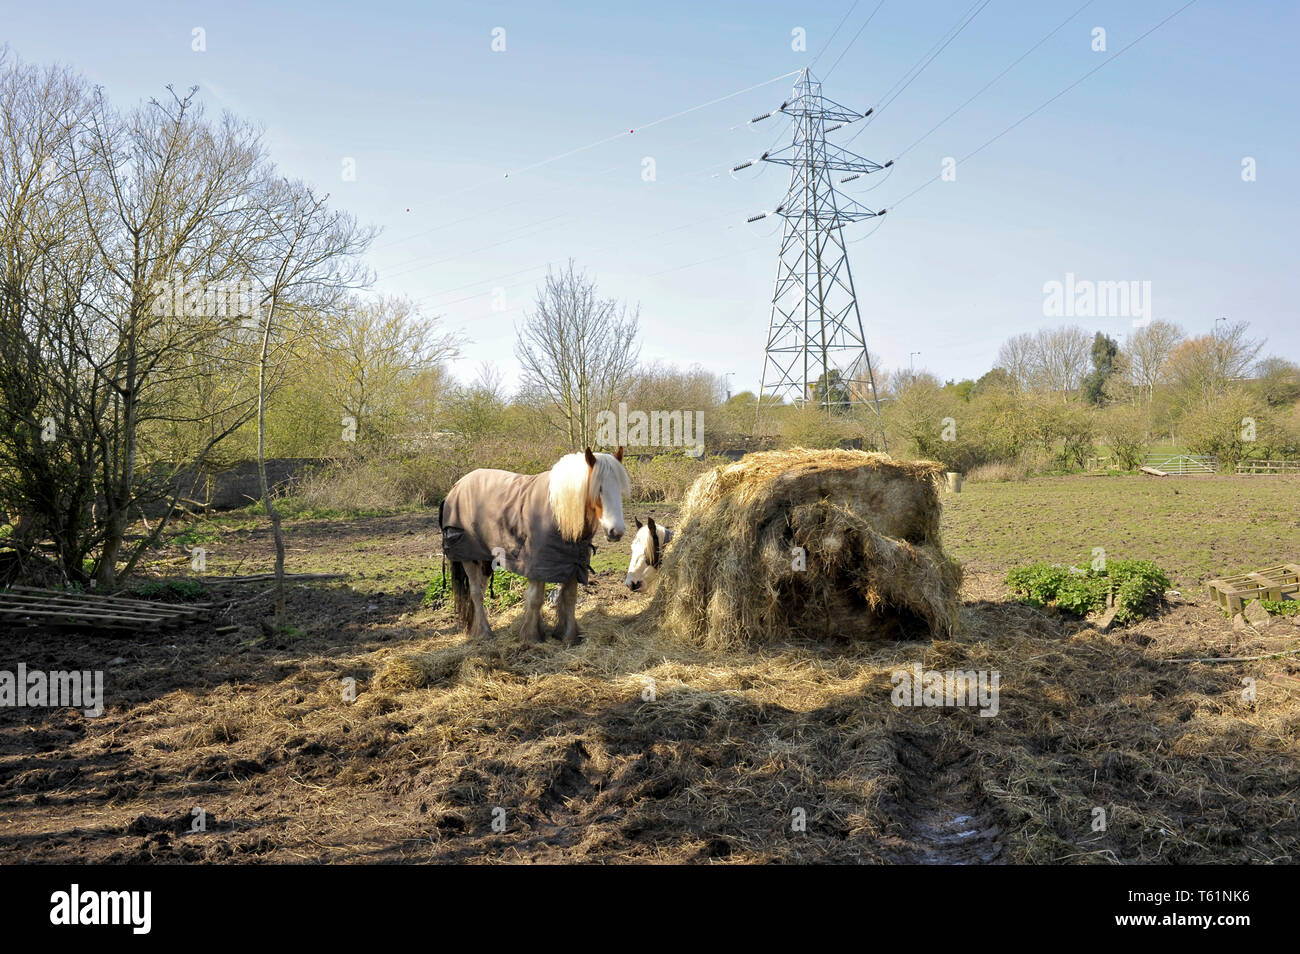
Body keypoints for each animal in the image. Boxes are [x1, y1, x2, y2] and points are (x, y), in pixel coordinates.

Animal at [439, 447, 629, 644]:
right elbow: (536, 599)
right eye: (598, 489)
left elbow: (570, 598)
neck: (559, 514)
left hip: (485, 559)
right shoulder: (538, 565)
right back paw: (484, 632)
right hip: (468, 556)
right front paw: (531, 636)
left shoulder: (573, 563)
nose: (617, 531)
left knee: (481, 589)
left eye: (619, 489)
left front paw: (568, 636)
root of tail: (456, 487)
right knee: (476, 592)